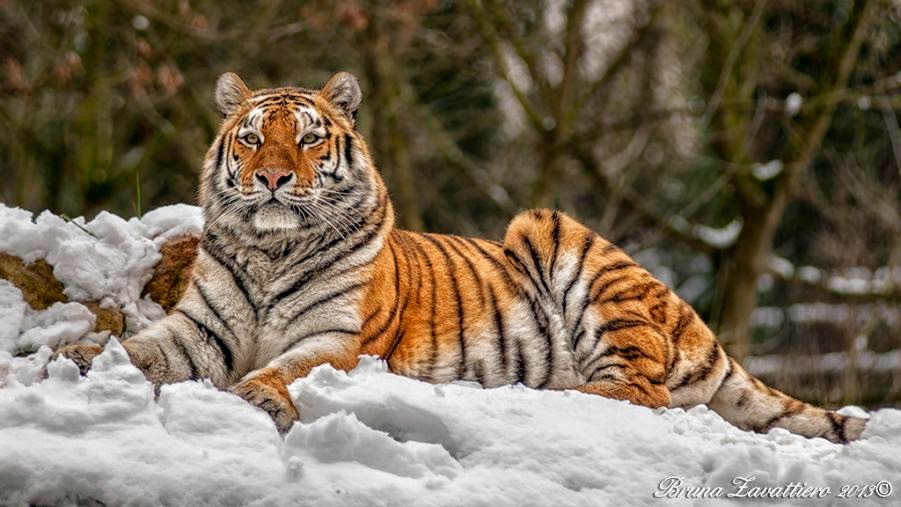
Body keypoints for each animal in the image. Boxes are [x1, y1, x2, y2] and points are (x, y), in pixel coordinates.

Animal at [54, 71, 867, 443]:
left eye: (309, 138)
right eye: (253, 137)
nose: (274, 179)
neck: (269, 249)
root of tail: (692, 317)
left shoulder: (338, 340)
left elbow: (281, 368)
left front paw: (259, 397)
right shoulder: (203, 328)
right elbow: (143, 348)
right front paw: (75, 358)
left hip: (557, 237)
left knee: (641, 391)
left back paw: (542, 395)